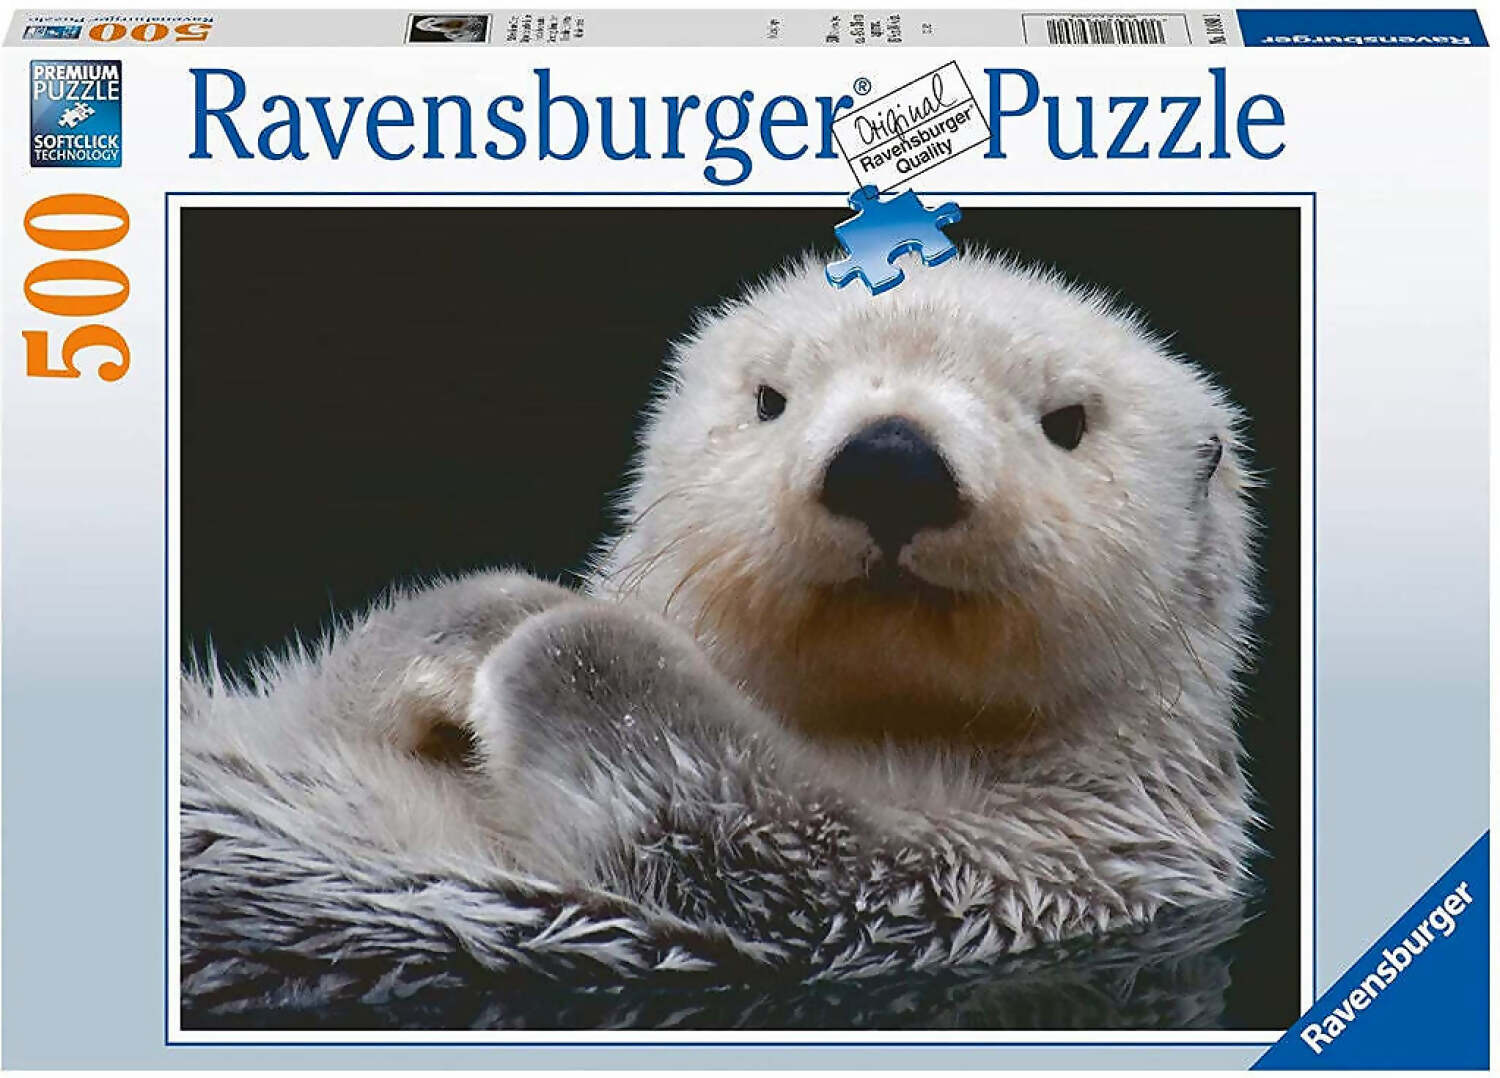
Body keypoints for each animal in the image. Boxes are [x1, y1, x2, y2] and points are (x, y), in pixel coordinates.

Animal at [181, 249, 1259, 1006]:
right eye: (770, 399)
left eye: (1068, 420)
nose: (891, 460)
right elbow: (328, 692)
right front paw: (487, 617)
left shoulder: (1025, 871)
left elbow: (757, 828)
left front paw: (559, 637)